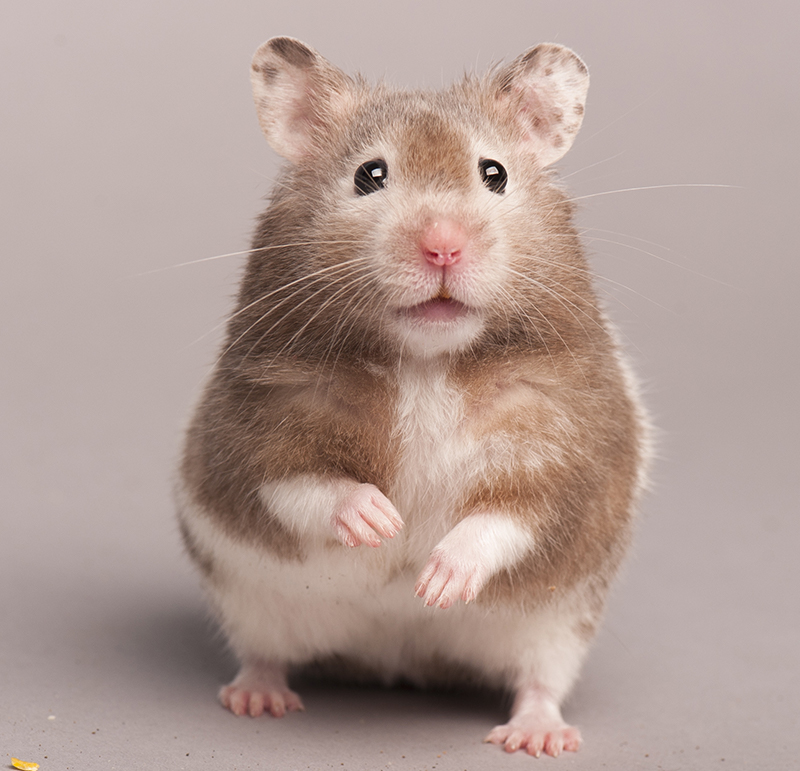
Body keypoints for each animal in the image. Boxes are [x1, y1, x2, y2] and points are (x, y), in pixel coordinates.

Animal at [176, 36, 649, 758]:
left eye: (494, 173)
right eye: (369, 175)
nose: (442, 247)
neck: (427, 360)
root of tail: (396, 658)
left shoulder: (564, 444)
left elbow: (508, 515)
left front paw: (433, 580)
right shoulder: (262, 420)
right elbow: (303, 482)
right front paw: (382, 523)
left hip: (560, 624)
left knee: (540, 678)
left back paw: (537, 737)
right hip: (248, 601)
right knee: (265, 652)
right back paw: (257, 698)